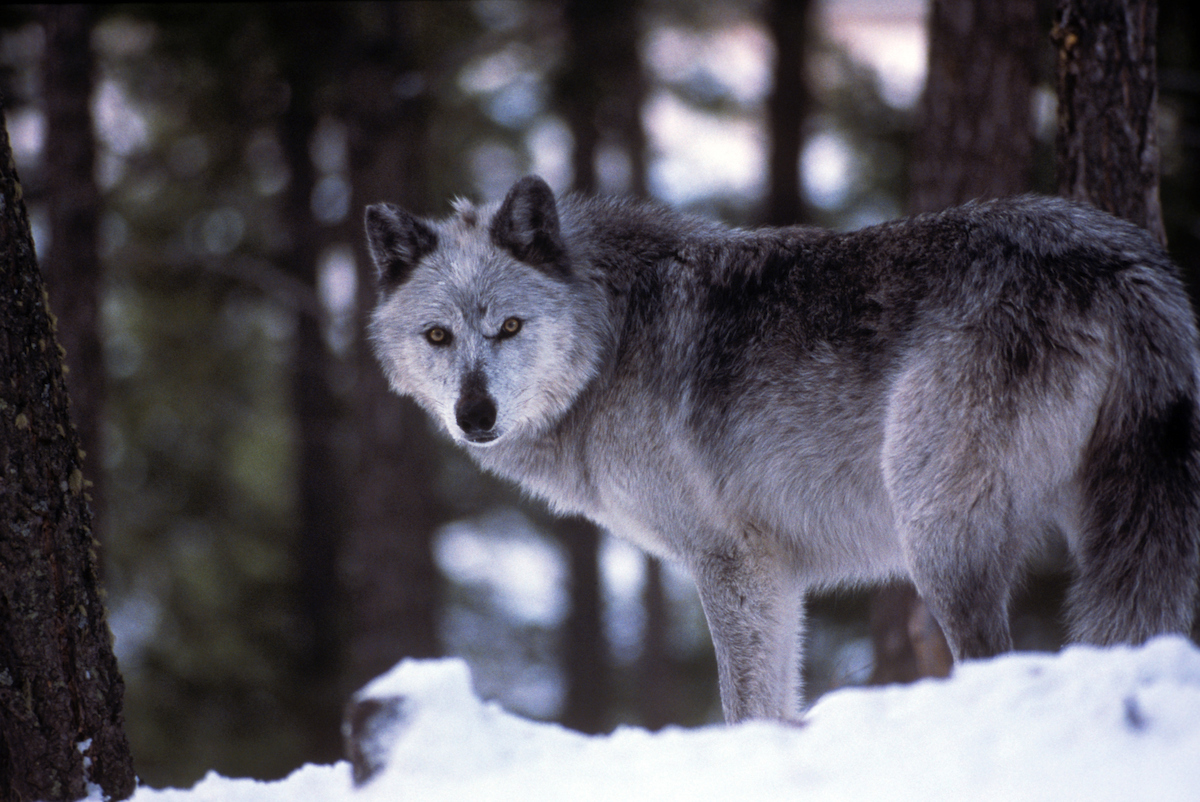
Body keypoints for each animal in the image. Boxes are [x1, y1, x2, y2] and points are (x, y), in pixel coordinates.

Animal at [365, 175, 1200, 724]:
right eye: (437, 336)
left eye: (509, 327)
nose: (475, 415)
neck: (614, 336)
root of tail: (1121, 261)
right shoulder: (780, 579)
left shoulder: (734, 563)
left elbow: (745, 705)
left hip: (938, 539)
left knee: (996, 657)